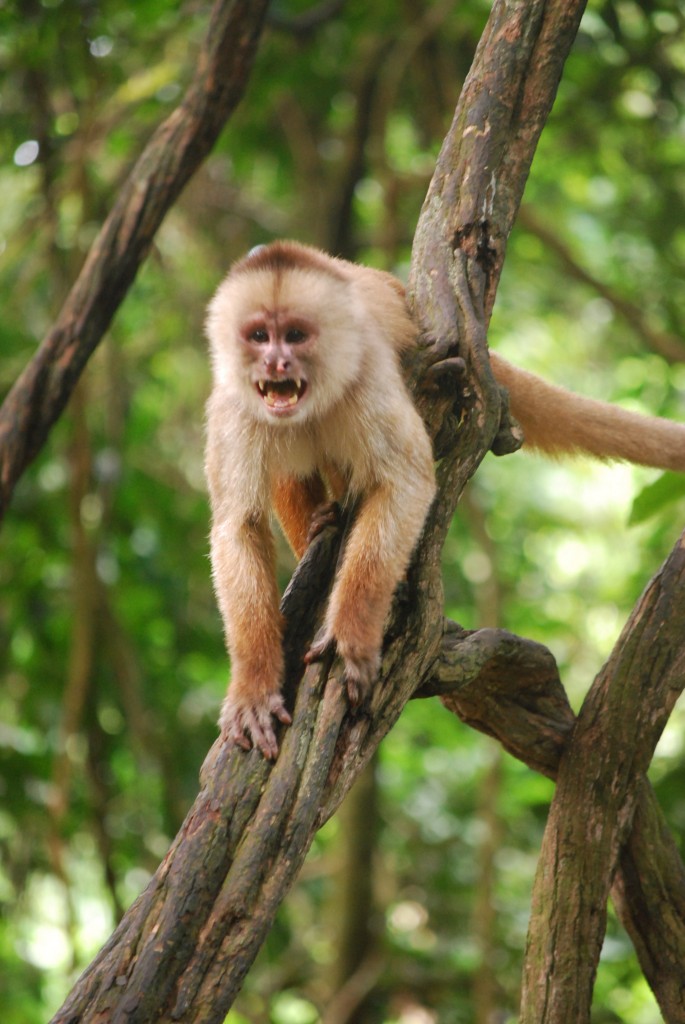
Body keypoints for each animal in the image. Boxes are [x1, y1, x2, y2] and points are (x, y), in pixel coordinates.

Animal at [205, 240, 685, 759]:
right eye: (259, 336)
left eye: (295, 335)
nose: (276, 363)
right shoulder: (232, 403)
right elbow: (238, 526)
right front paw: (253, 688)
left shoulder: (367, 371)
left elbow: (406, 483)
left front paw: (351, 637)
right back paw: (318, 526)